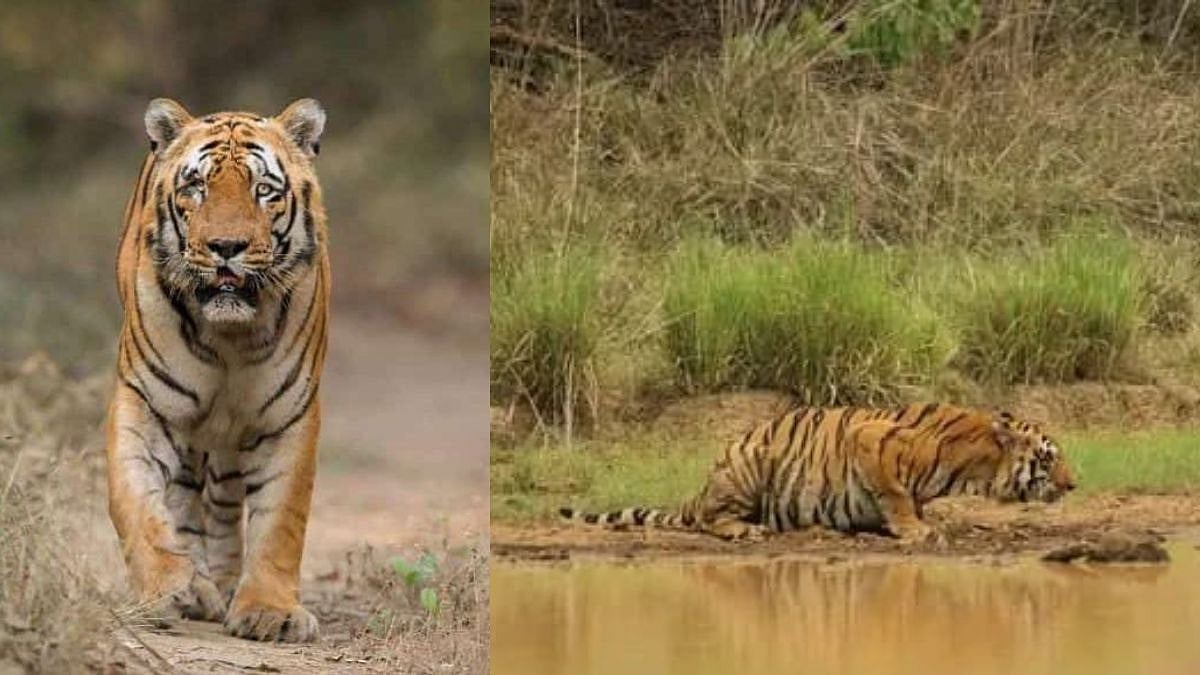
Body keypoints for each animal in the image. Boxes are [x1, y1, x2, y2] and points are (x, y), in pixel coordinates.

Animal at [105, 98, 329, 642]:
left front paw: (270, 611)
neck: (230, 340)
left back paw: (225, 586)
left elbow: (281, 521)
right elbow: (138, 503)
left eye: (263, 190)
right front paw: (167, 588)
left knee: (225, 504)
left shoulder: (290, 417)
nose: (227, 246)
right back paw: (199, 588)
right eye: (197, 187)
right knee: (186, 501)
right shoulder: (144, 403)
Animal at [560, 403, 1075, 543]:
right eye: (1048, 458)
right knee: (710, 519)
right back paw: (745, 530)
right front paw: (914, 530)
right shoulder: (871, 438)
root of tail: (701, 487)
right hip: (748, 464)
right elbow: (894, 494)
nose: (1074, 485)